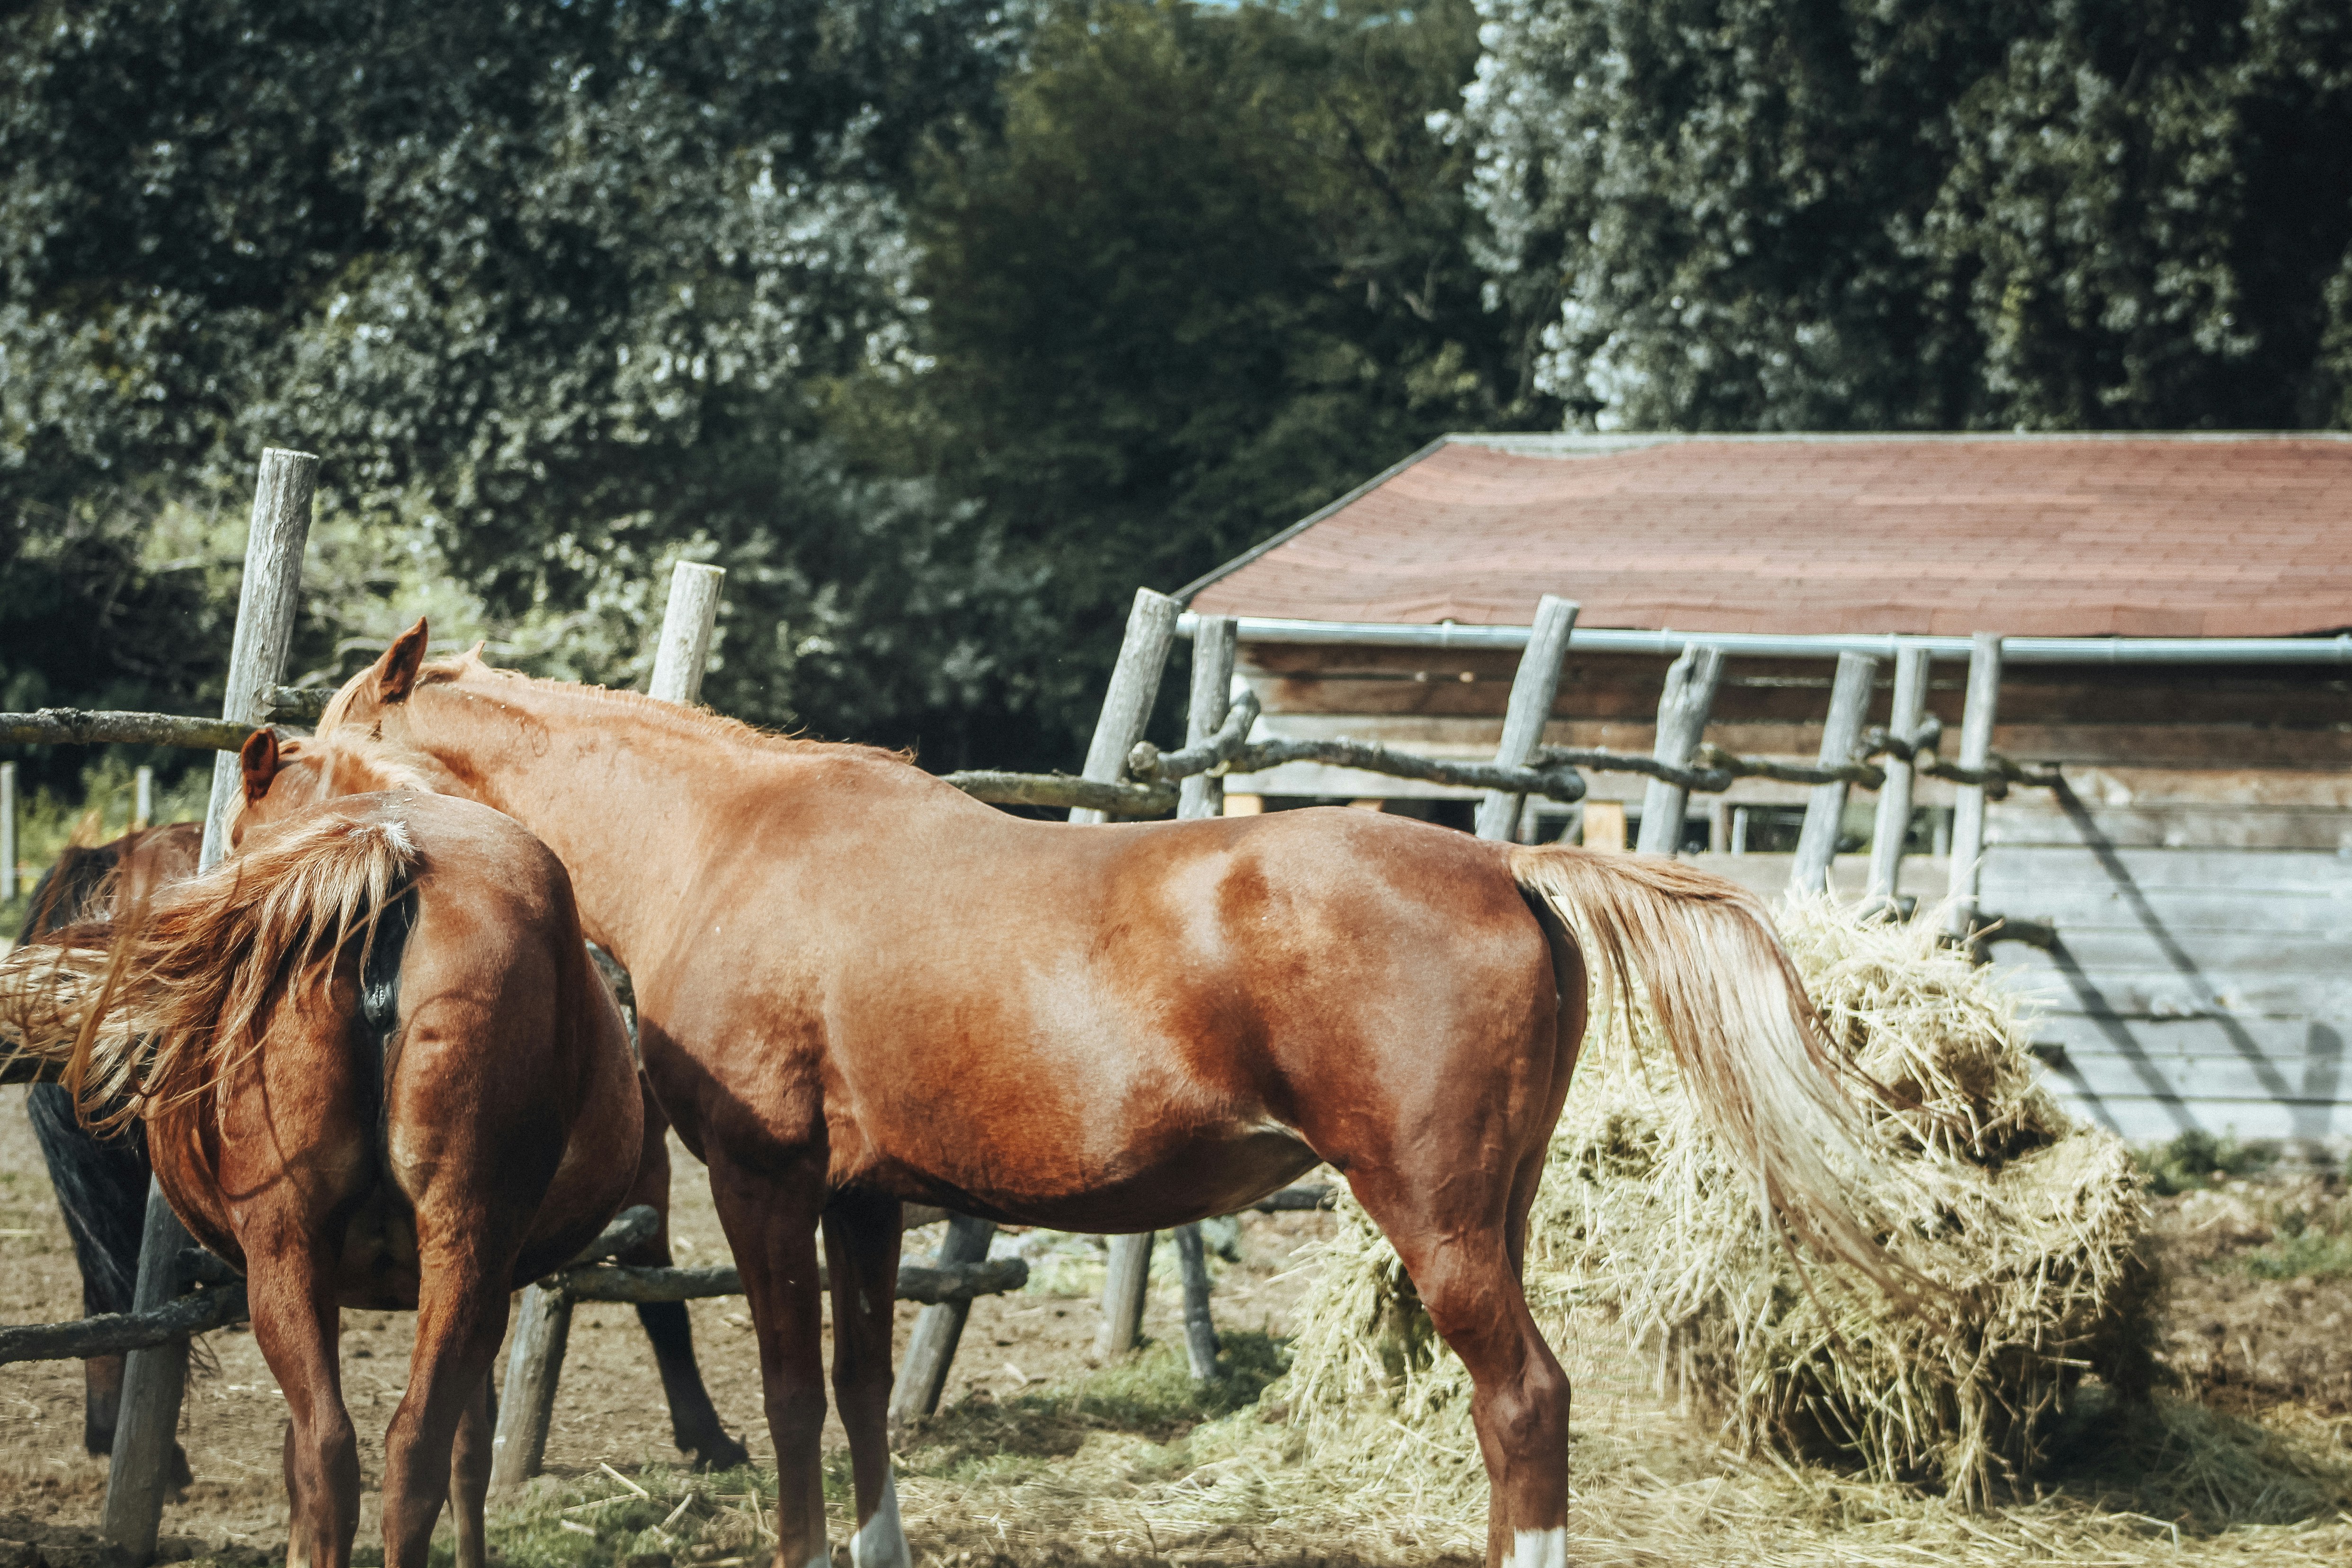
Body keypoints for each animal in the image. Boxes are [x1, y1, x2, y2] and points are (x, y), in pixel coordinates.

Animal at [0, 787, 643, 1568]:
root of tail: (388, 852)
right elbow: (469, 1457)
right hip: (458, 1256)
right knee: (404, 1452)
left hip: (303, 1252)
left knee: (337, 1454)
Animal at [284, 620, 1903, 1568]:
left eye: (312, 758)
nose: (284, 887)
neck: (725, 840)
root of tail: (1507, 860)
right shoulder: (865, 1205)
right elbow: (862, 1398)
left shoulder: (766, 1186)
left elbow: (794, 1401)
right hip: (1493, 1214)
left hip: (1437, 1224)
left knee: (1525, 1405)